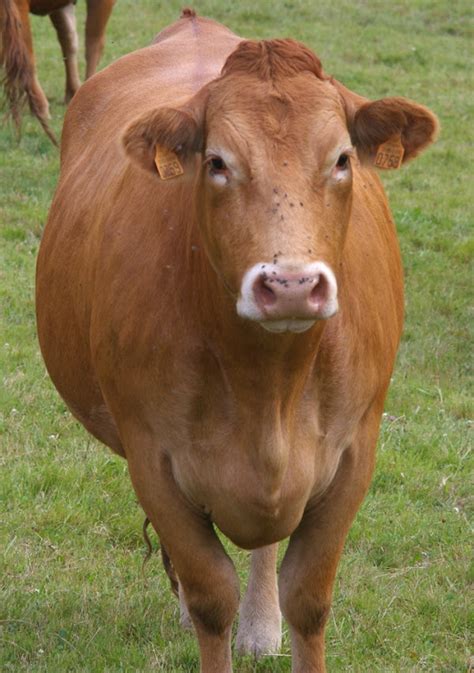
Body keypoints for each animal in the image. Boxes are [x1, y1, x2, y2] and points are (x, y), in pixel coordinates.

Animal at [35, 9, 438, 673]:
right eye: (217, 162)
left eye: (342, 158)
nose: (292, 285)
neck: (268, 381)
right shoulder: (152, 456)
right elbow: (209, 597)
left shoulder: (356, 453)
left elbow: (308, 598)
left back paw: (261, 623)